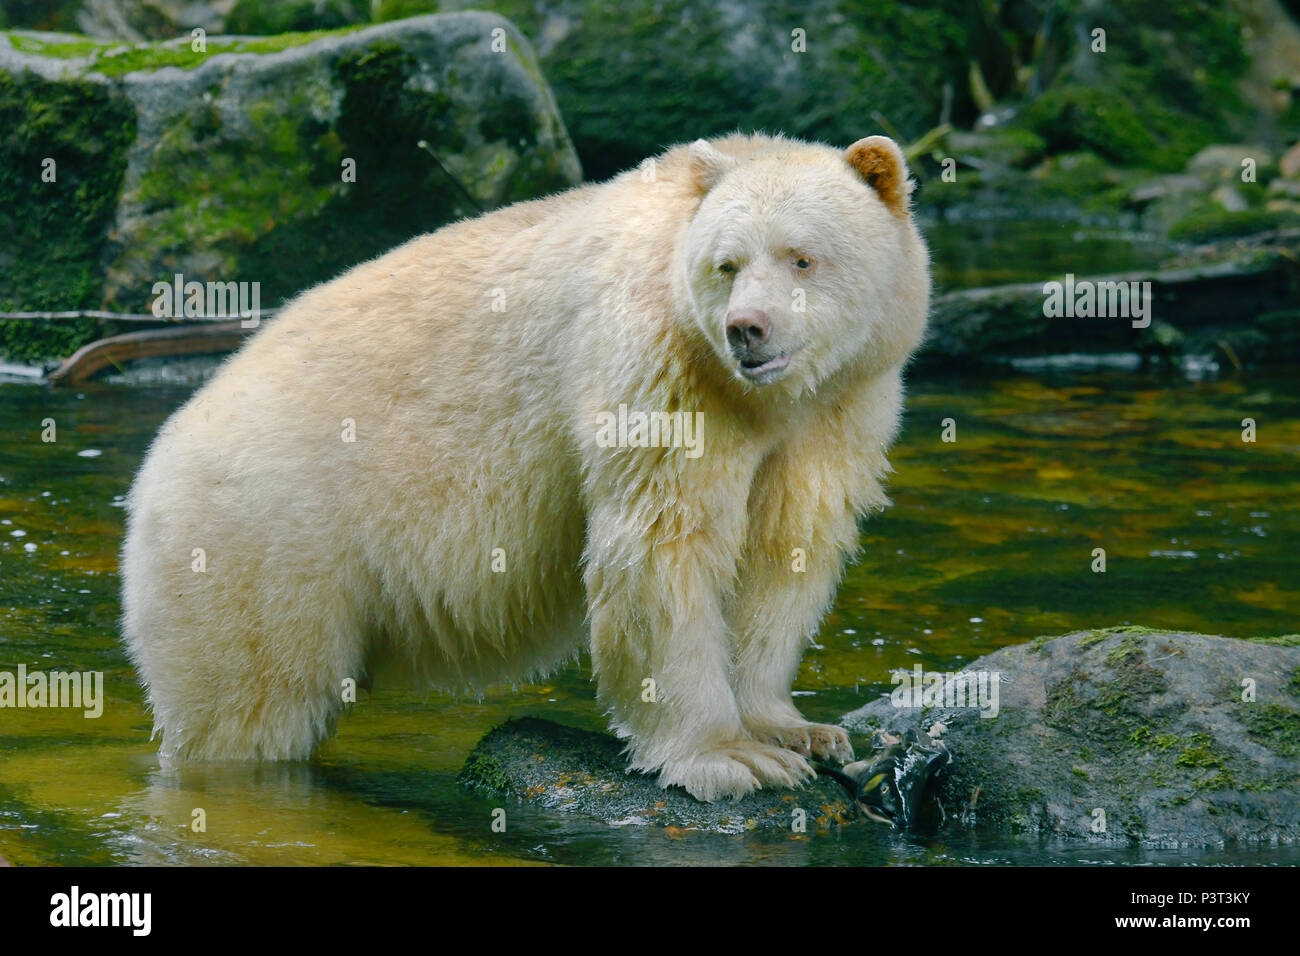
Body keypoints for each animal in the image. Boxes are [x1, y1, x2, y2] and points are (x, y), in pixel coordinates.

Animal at [120, 131, 930, 802]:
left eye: (802, 257)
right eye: (726, 265)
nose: (747, 330)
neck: (761, 398)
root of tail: (159, 458)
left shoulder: (840, 403)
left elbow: (785, 545)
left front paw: (795, 729)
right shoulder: (662, 364)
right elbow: (664, 546)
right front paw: (729, 758)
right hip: (266, 543)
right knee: (250, 707)